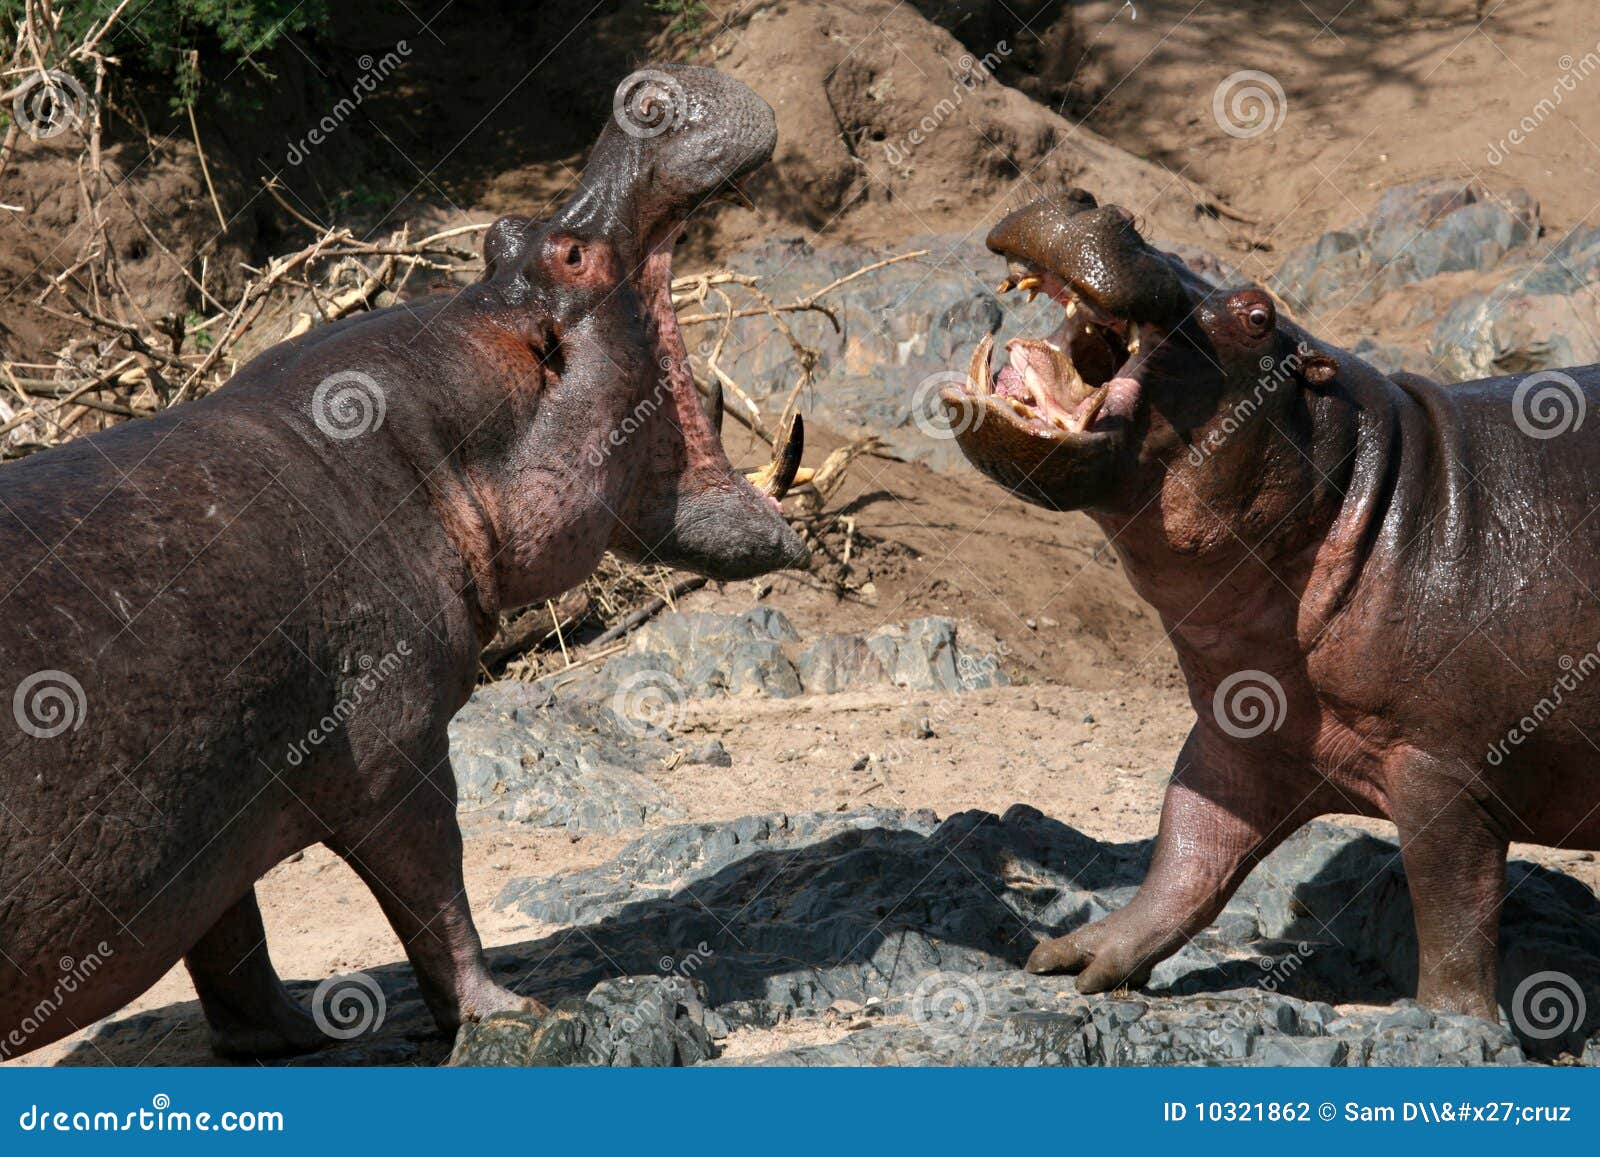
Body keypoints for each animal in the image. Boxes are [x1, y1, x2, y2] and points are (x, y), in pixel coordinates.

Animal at [0, 65, 806, 1060]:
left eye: (505, 235)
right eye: (572, 255)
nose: (646, 95)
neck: (437, 445)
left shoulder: (211, 818)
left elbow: (233, 941)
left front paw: (293, 1033)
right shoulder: (398, 752)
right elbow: (436, 893)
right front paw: (511, 1009)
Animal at [942, 188, 1600, 1024]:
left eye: (1259, 316)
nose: (1093, 203)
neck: (1369, 489)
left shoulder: (1443, 767)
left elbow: (1454, 908)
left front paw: (1451, 1022)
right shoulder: (1242, 730)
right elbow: (1187, 849)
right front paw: (1076, 956)